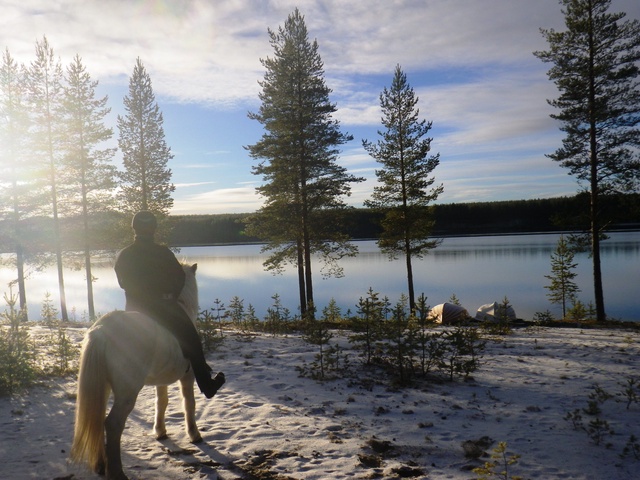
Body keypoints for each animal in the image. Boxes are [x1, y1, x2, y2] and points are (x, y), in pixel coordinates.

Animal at [71, 263, 203, 480]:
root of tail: (101, 330)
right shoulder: (188, 376)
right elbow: (189, 403)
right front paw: (194, 435)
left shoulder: (161, 380)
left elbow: (161, 402)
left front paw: (160, 431)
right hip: (127, 393)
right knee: (113, 424)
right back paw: (116, 472)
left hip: (103, 386)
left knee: (98, 421)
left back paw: (101, 465)